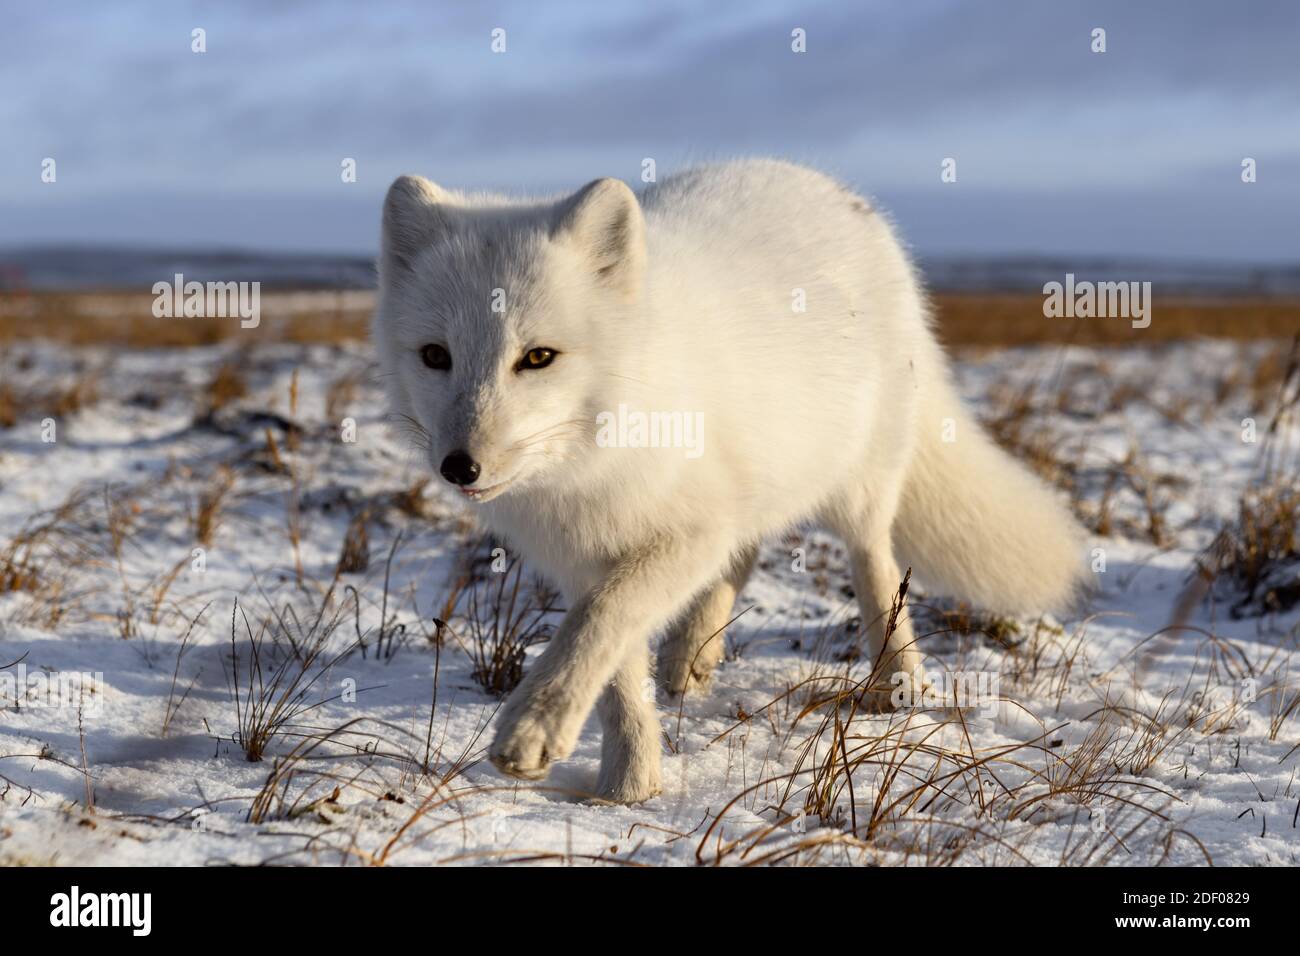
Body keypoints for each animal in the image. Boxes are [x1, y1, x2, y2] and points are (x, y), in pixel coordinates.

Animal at [372, 159, 1087, 804]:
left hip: (855, 486)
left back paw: (897, 682)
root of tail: (838, 191)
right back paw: (691, 659)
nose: (460, 466)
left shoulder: (684, 532)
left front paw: (534, 728)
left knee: (875, 567)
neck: (589, 463)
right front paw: (627, 786)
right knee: (743, 556)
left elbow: (598, 624)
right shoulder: (584, 557)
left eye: (538, 357)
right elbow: (614, 669)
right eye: (435, 356)